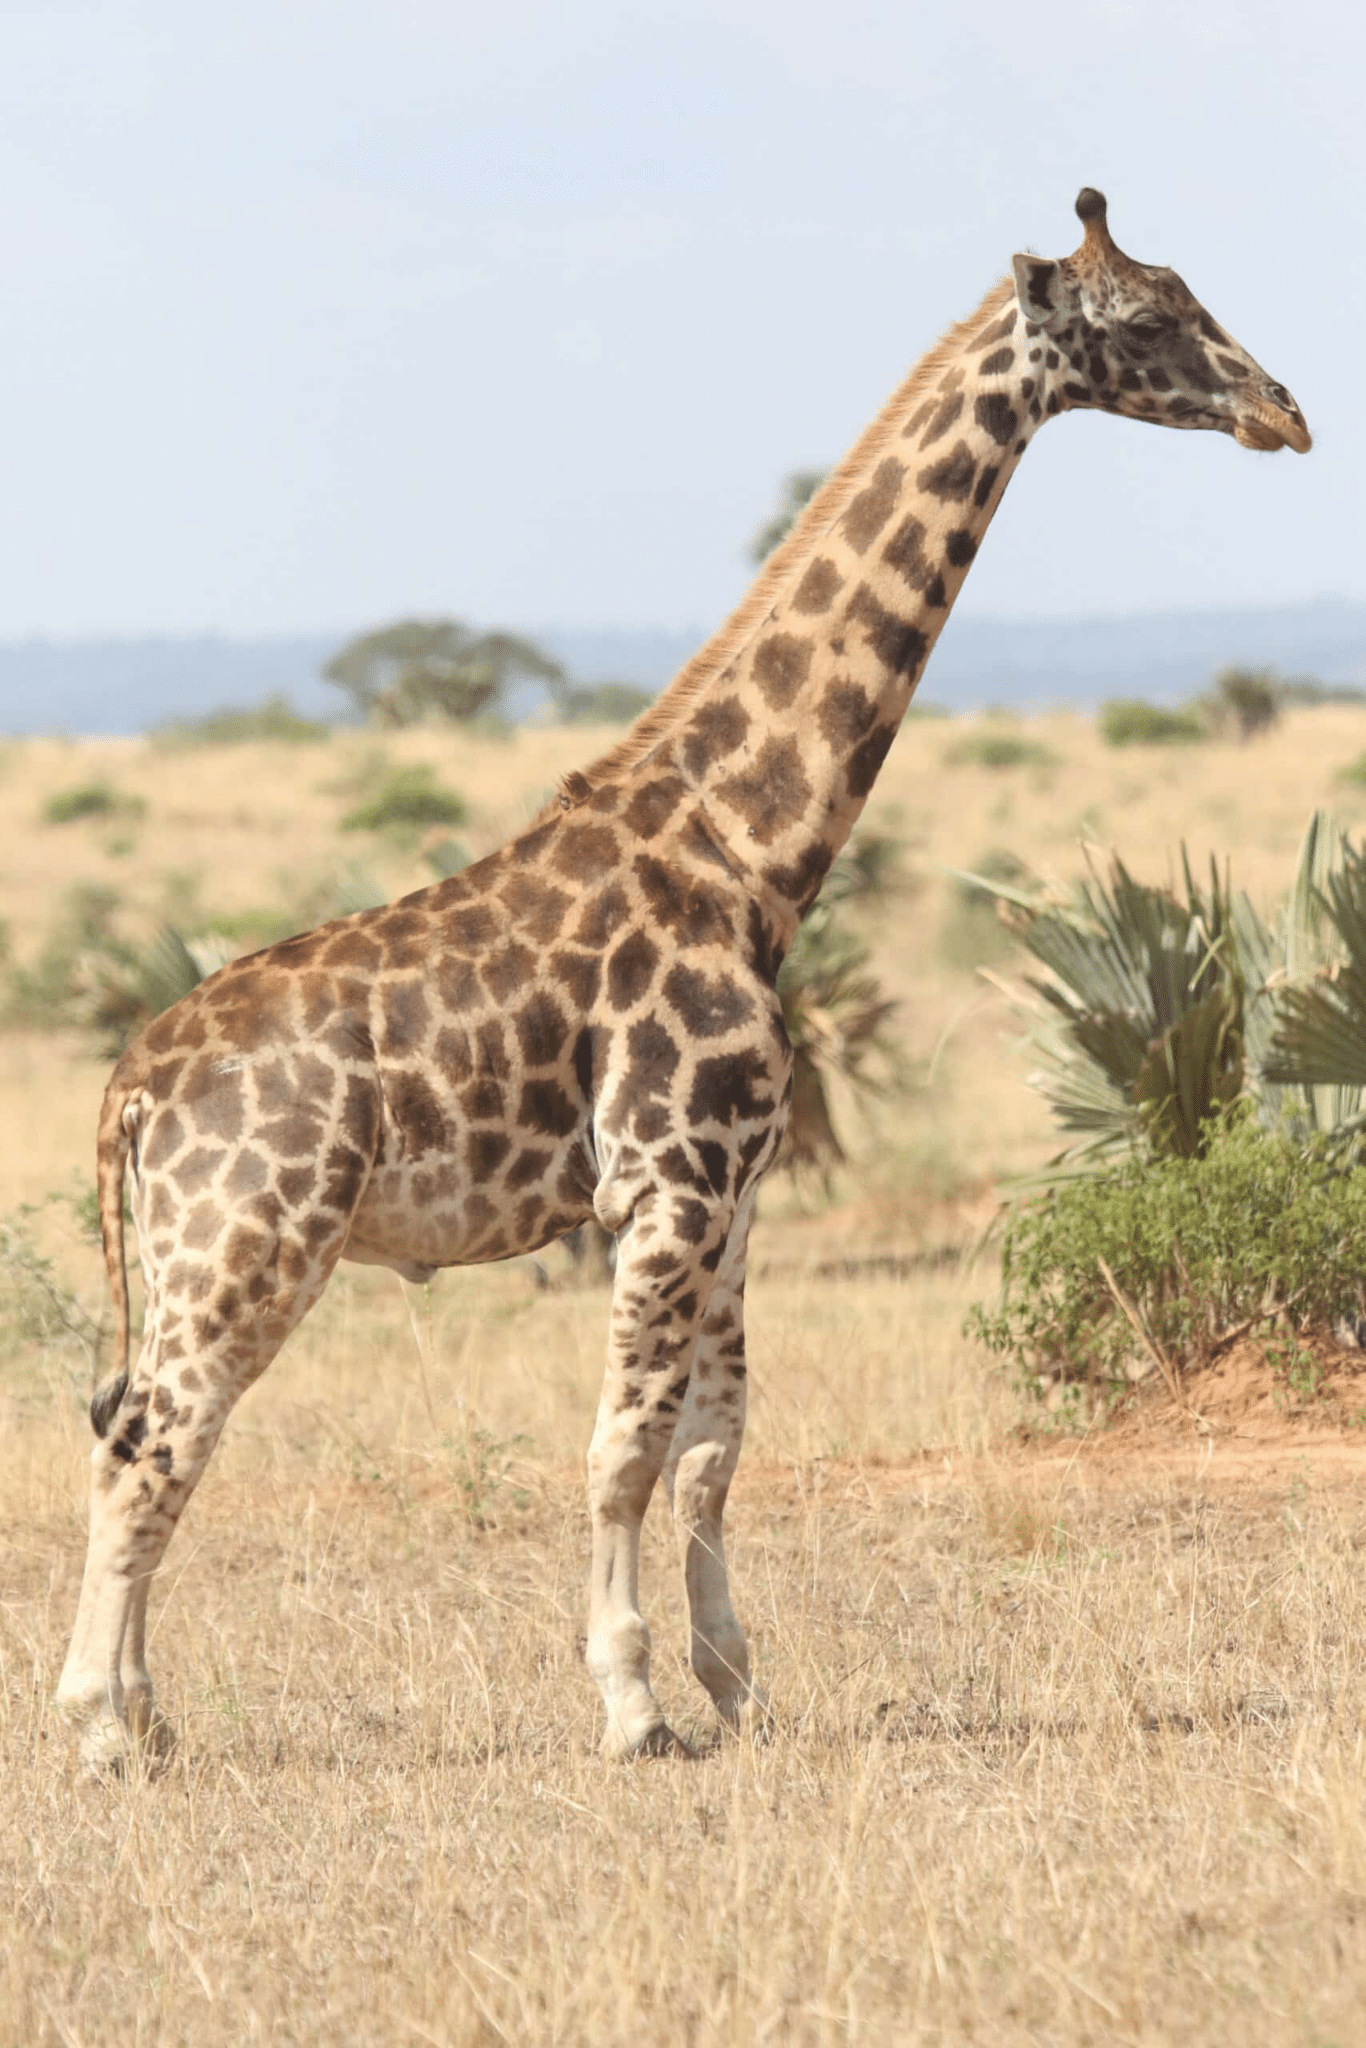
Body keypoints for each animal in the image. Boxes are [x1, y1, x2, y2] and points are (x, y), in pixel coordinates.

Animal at [56, 190, 1310, 1770]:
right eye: (1146, 316)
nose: (1285, 413)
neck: (753, 852)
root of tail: (131, 1083)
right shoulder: (661, 1183)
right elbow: (621, 1448)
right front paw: (633, 1703)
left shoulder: (740, 1189)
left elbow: (712, 1449)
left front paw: (738, 1687)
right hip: (252, 1239)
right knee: (149, 1435)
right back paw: (98, 1727)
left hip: (192, 1255)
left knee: (149, 1426)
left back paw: (149, 1716)